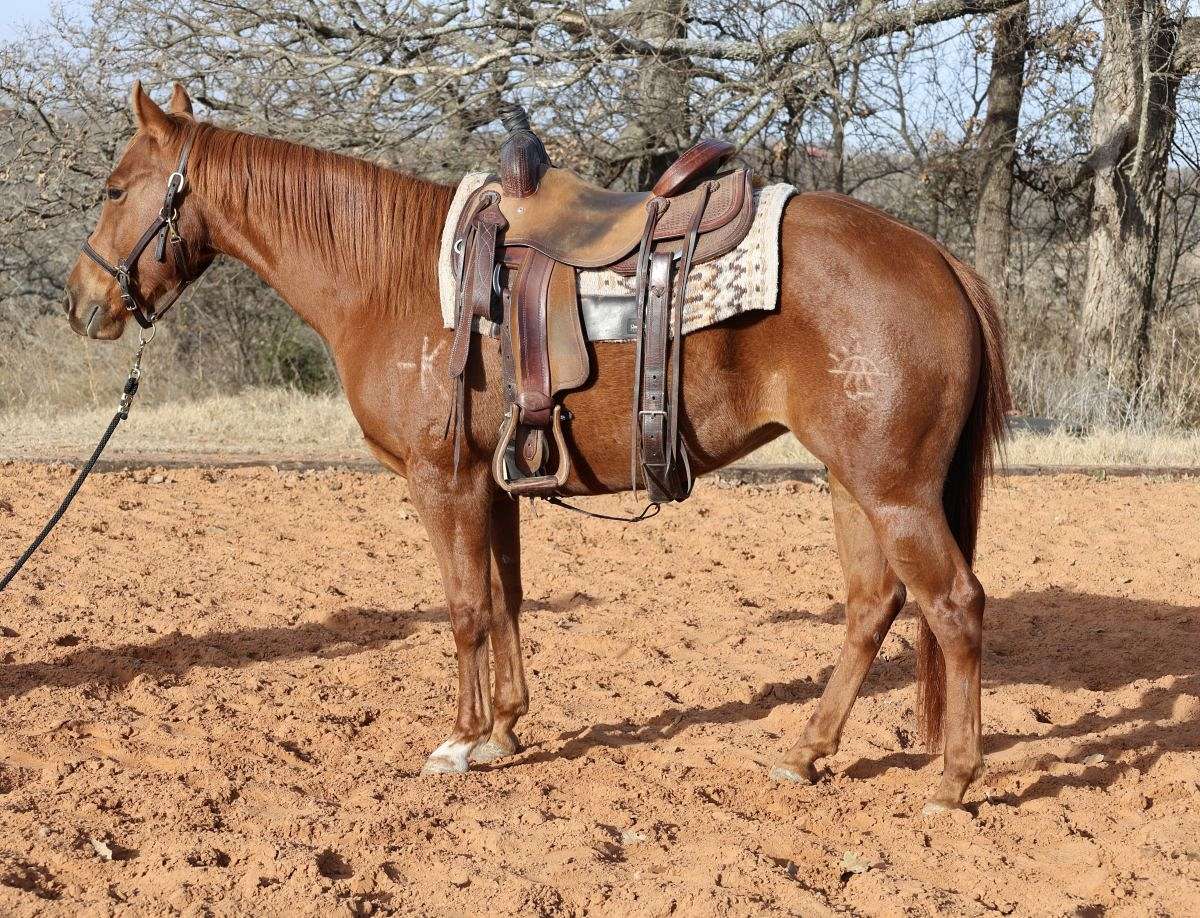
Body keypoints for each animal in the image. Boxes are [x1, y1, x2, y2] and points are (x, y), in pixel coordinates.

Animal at [64, 82, 1008, 814]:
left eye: (113, 189)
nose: (81, 304)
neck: (392, 277)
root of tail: (938, 259)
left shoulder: (442, 483)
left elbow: (463, 609)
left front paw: (457, 742)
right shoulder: (492, 484)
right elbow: (506, 600)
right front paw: (506, 730)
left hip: (895, 491)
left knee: (955, 606)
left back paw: (952, 783)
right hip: (852, 482)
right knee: (872, 607)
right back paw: (806, 754)